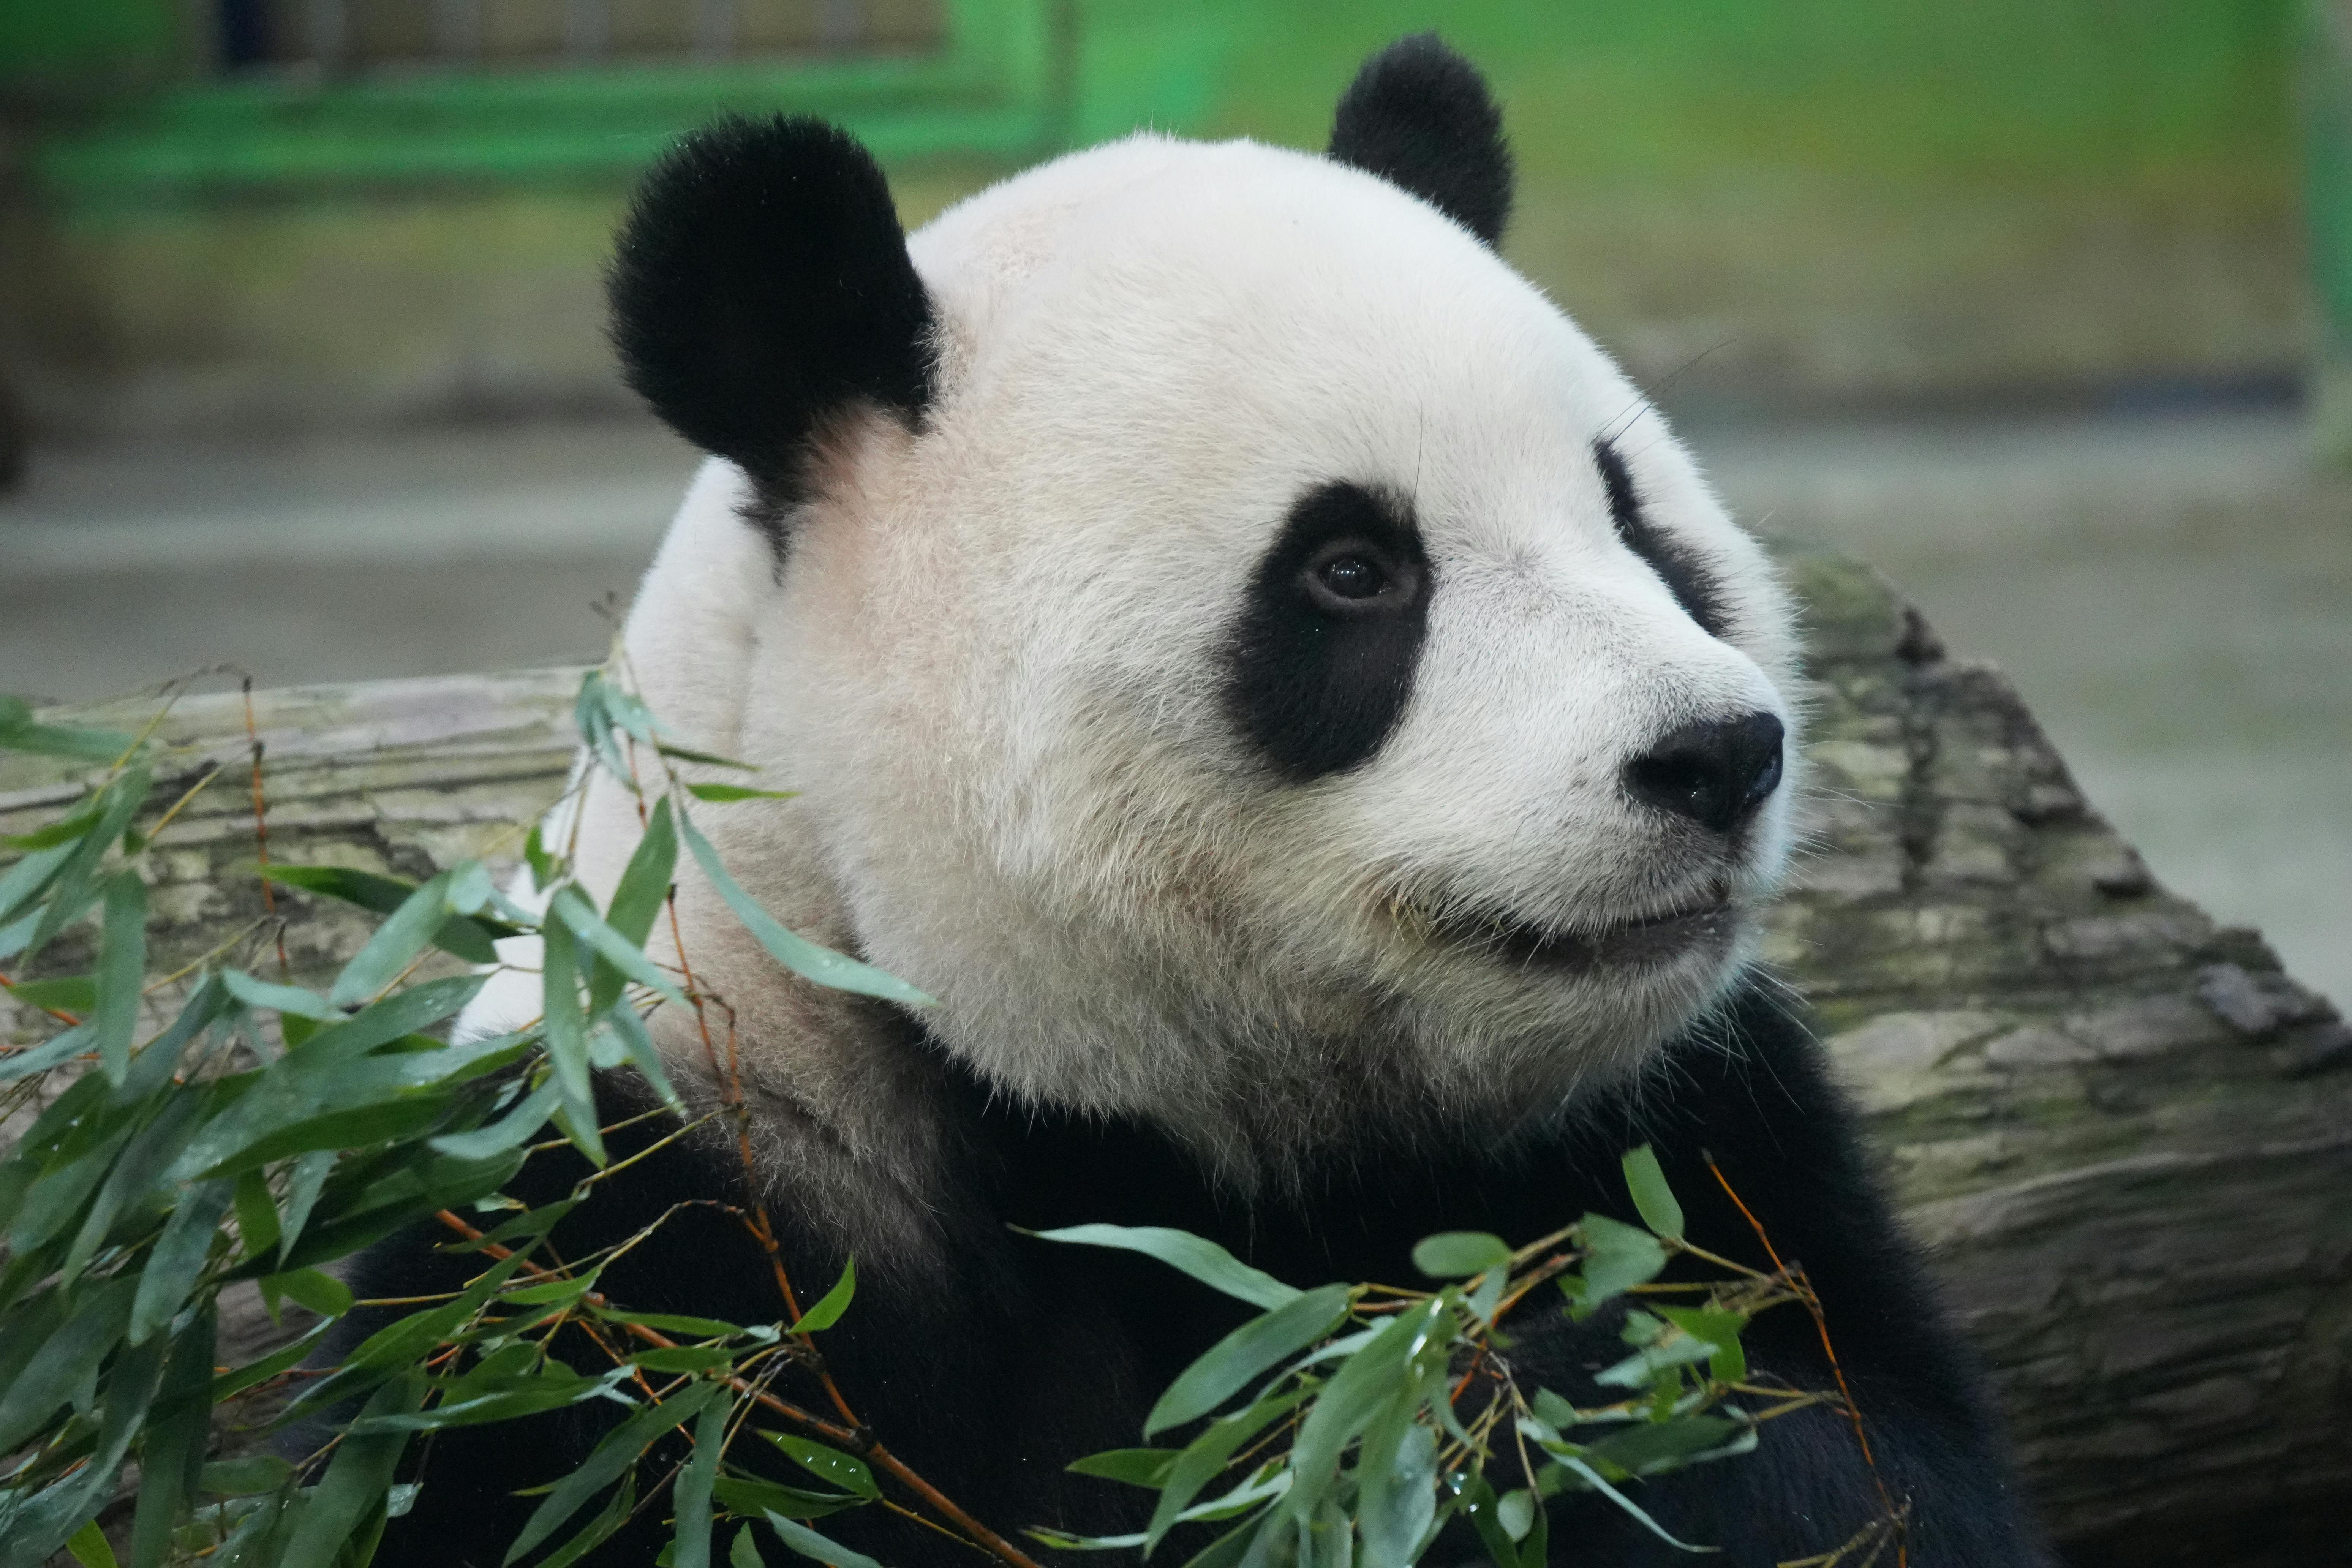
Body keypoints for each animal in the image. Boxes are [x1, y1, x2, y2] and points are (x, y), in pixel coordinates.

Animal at [344, 35, 2053, 1568]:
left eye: (1635, 522)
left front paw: (1506, 1406)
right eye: (1352, 569)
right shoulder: (634, 1228)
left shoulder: (1700, 1136)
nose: (1715, 756)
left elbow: (1875, 1462)